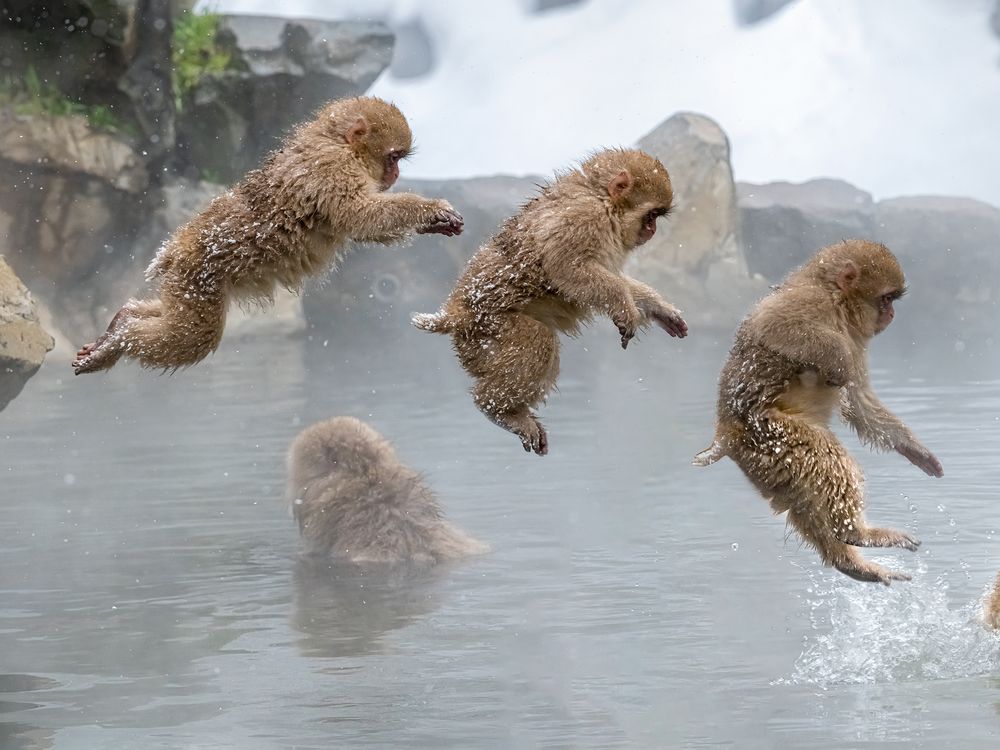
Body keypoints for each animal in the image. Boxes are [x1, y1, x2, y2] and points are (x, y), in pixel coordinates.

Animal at [72, 96, 463, 374]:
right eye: (393, 157)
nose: (395, 175)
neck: (334, 141)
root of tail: (177, 245)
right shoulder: (332, 167)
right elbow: (361, 216)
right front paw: (431, 210)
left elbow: (362, 226)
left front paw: (430, 221)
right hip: (199, 274)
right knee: (193, 336)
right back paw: (119, 338)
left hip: (188, 279)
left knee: (171, 315)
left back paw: (122, 319)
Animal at [412, 148, 688, 455]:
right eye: (651, 215)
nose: (652, 229)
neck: (600, 198)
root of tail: (455, 313)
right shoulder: (583, 219)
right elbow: (566, 267)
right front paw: (624, 307)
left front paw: (659, 309)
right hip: (489, 328)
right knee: (538, 342)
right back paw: (497, 409)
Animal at [693, 239, 943, 585]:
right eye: (886, 299)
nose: (891, 313)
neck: (837, 300)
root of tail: (725, 433)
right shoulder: (812, 303)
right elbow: (775, 323)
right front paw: (840, 363)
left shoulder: (856, 336)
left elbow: (859, 402)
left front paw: (914, 450)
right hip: (770, 434)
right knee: (825, 458)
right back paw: (858, 534)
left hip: (763, 463)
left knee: (801, 496)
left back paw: (850, 562)